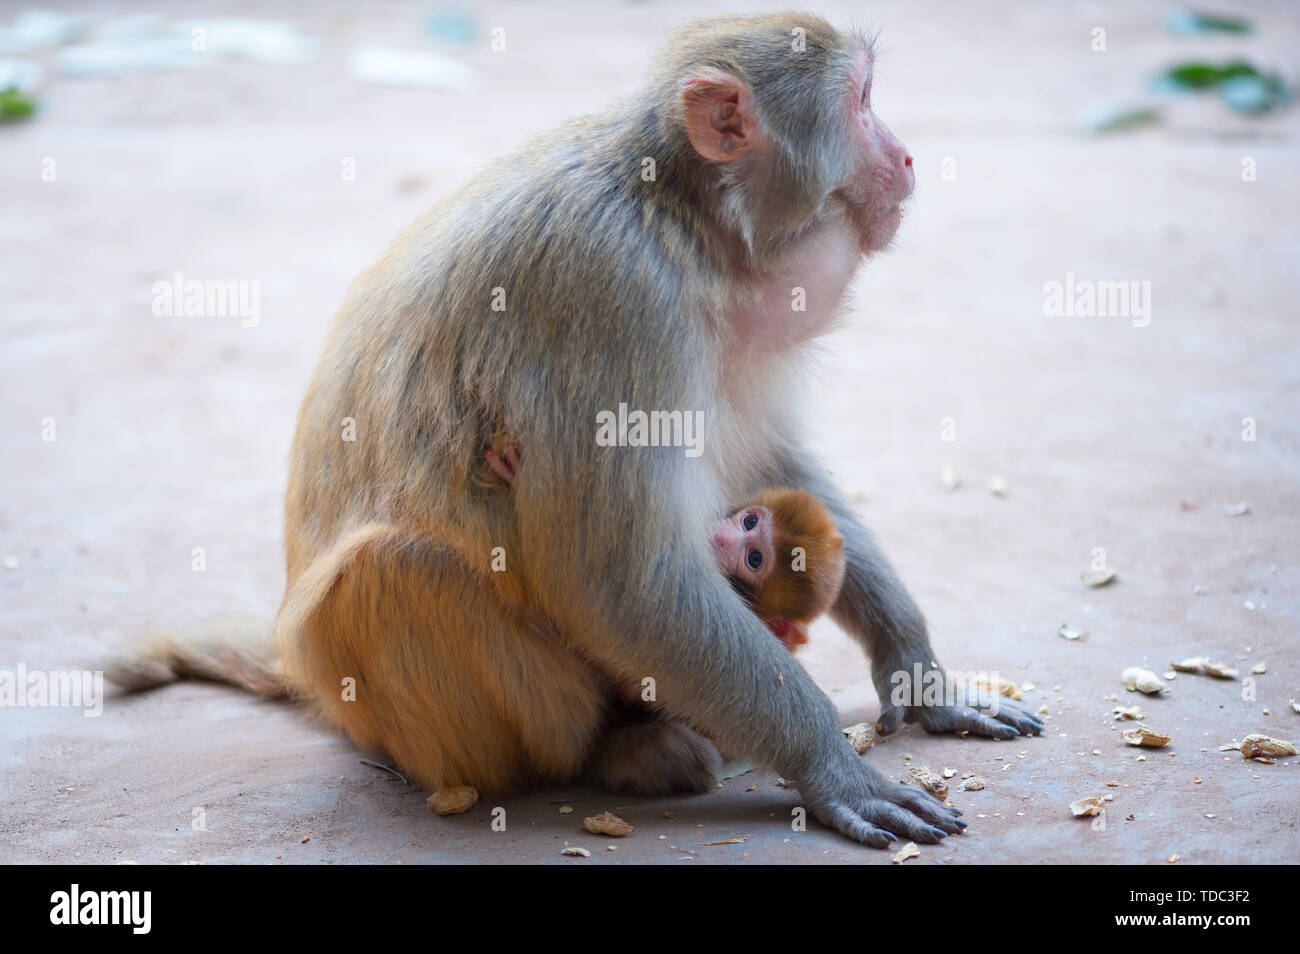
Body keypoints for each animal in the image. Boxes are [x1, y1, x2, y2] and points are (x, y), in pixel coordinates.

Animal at [113, 12, 1042, 847]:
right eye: (864, 100)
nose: (909, 154)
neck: (689, 227)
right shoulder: (622, 297)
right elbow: (618, 581)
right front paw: (830, 767)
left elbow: (778, 466)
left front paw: (917, 672)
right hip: (403, 715)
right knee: (395, 572)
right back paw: (613, 753)